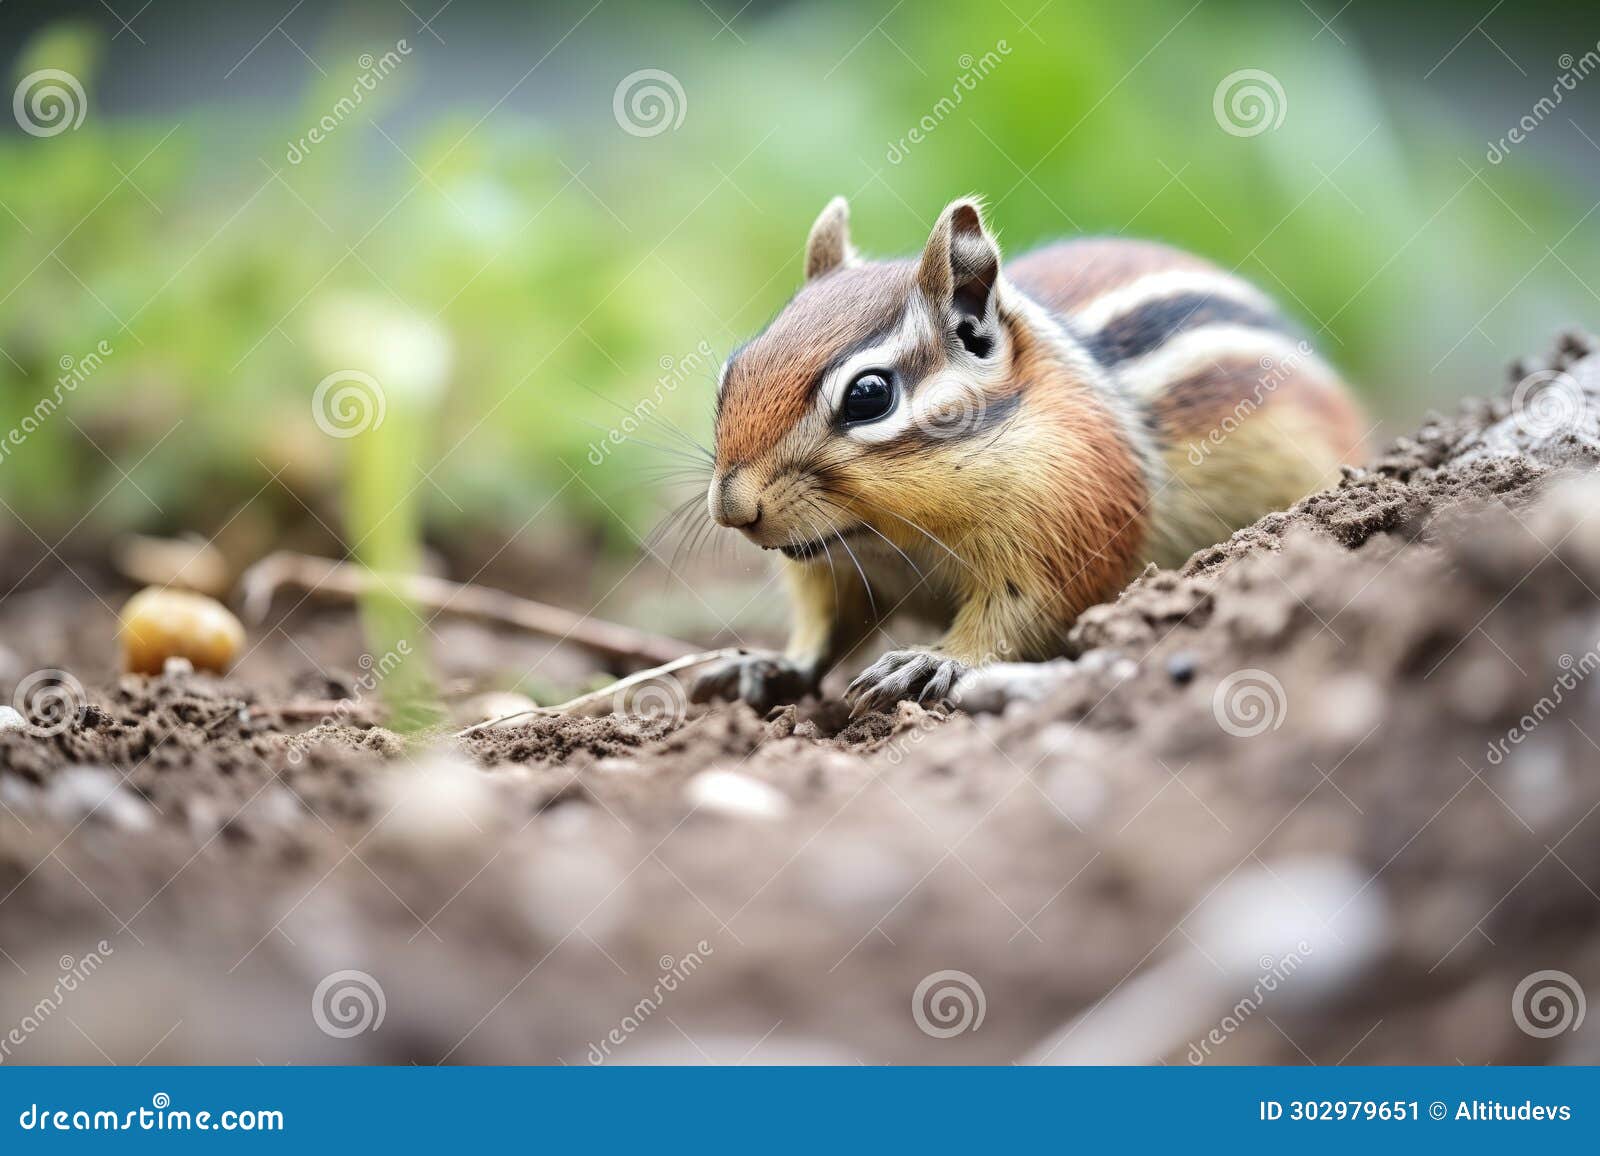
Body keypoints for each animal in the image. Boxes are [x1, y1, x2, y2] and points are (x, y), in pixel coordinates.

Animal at [689, 196, 1365, 715]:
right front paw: (770, 664)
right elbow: (827, 627)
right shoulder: (836, 570)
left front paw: (934, 661)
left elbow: (1025, 610)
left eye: (869, 396)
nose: (733, 508)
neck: (891, 538)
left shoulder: (1070, 515)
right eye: (732, 371)